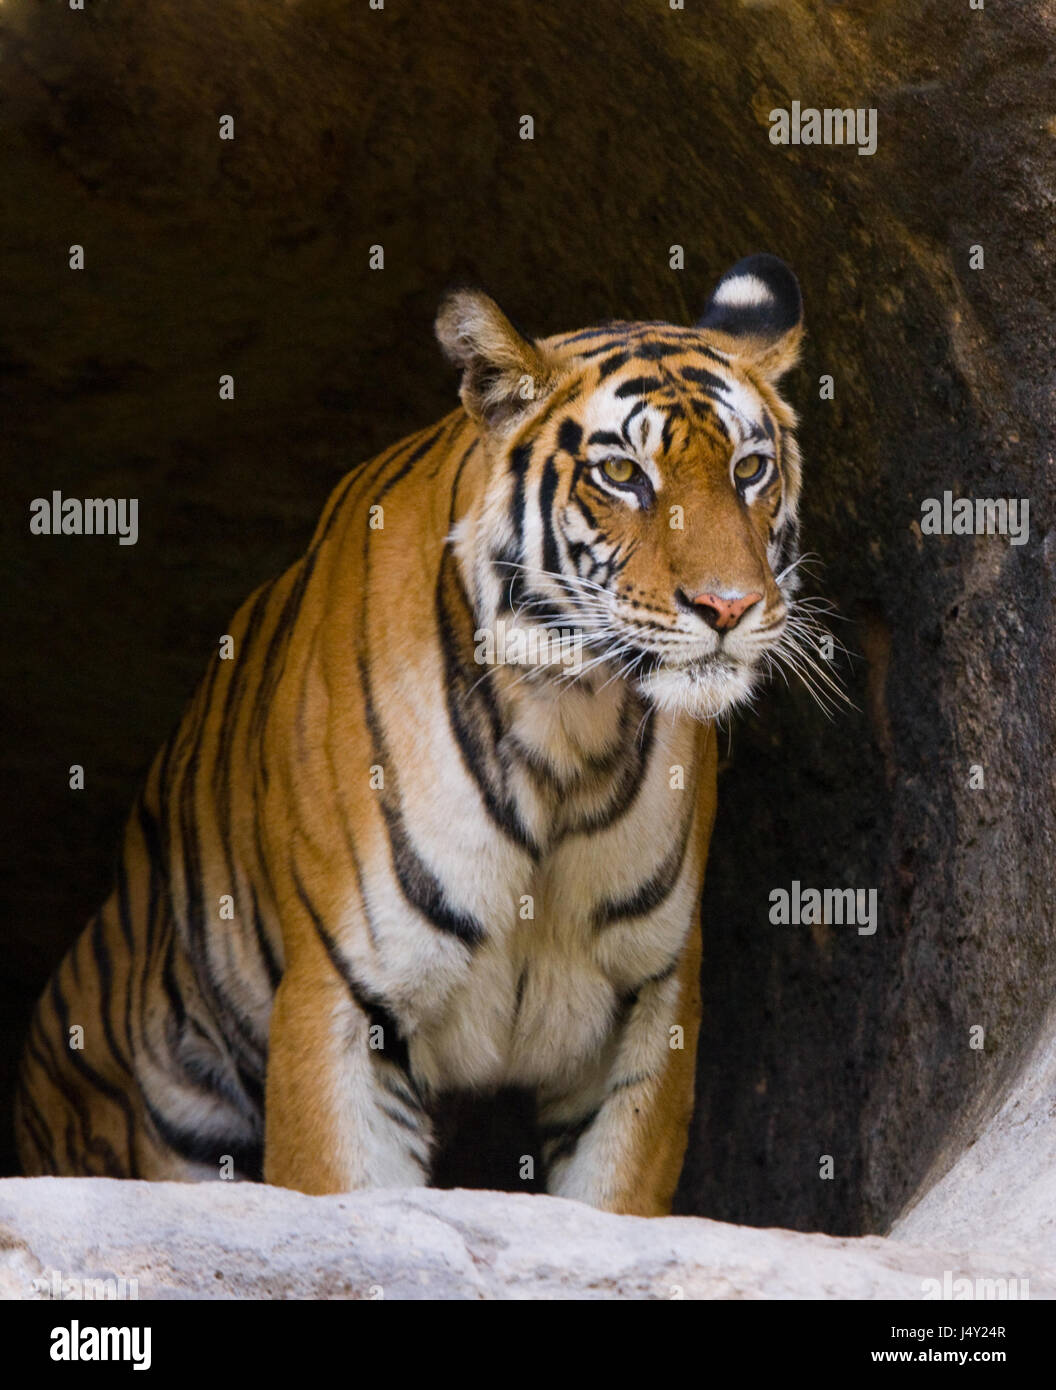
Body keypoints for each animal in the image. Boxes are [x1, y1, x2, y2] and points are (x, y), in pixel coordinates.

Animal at [15, 254, 826, 1215]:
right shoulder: (343, 1001)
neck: (571, 734)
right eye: (624, 474)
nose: (729, 608)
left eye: (750, 468)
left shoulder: (648, 1009)